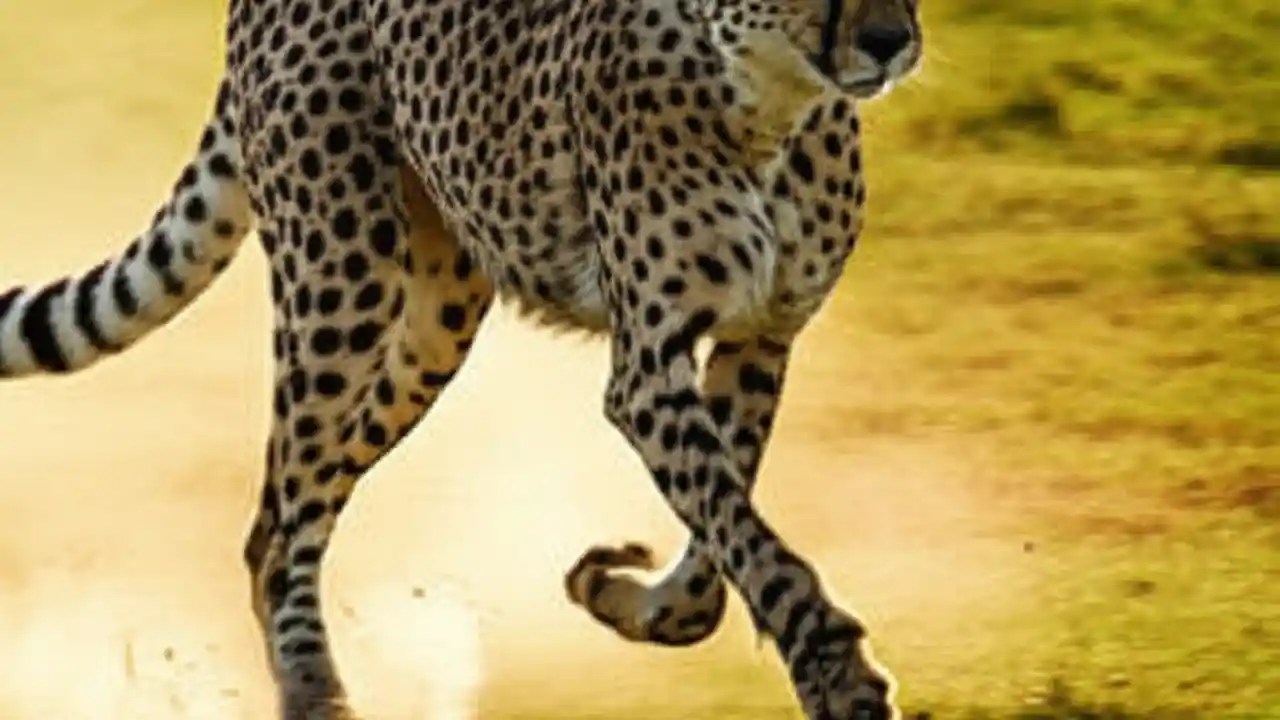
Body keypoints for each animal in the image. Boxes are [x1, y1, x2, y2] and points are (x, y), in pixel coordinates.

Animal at [0, 0, 924, 718]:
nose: (889, 41)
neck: (772, 108)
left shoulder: (759, 338)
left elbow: (720, 549)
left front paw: (618, 592)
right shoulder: (650, 367)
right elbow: (743, 532)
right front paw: (840, 676)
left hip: (432, 325)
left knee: (281, 512)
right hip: (343, 274)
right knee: (292, 509)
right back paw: (311, 686)